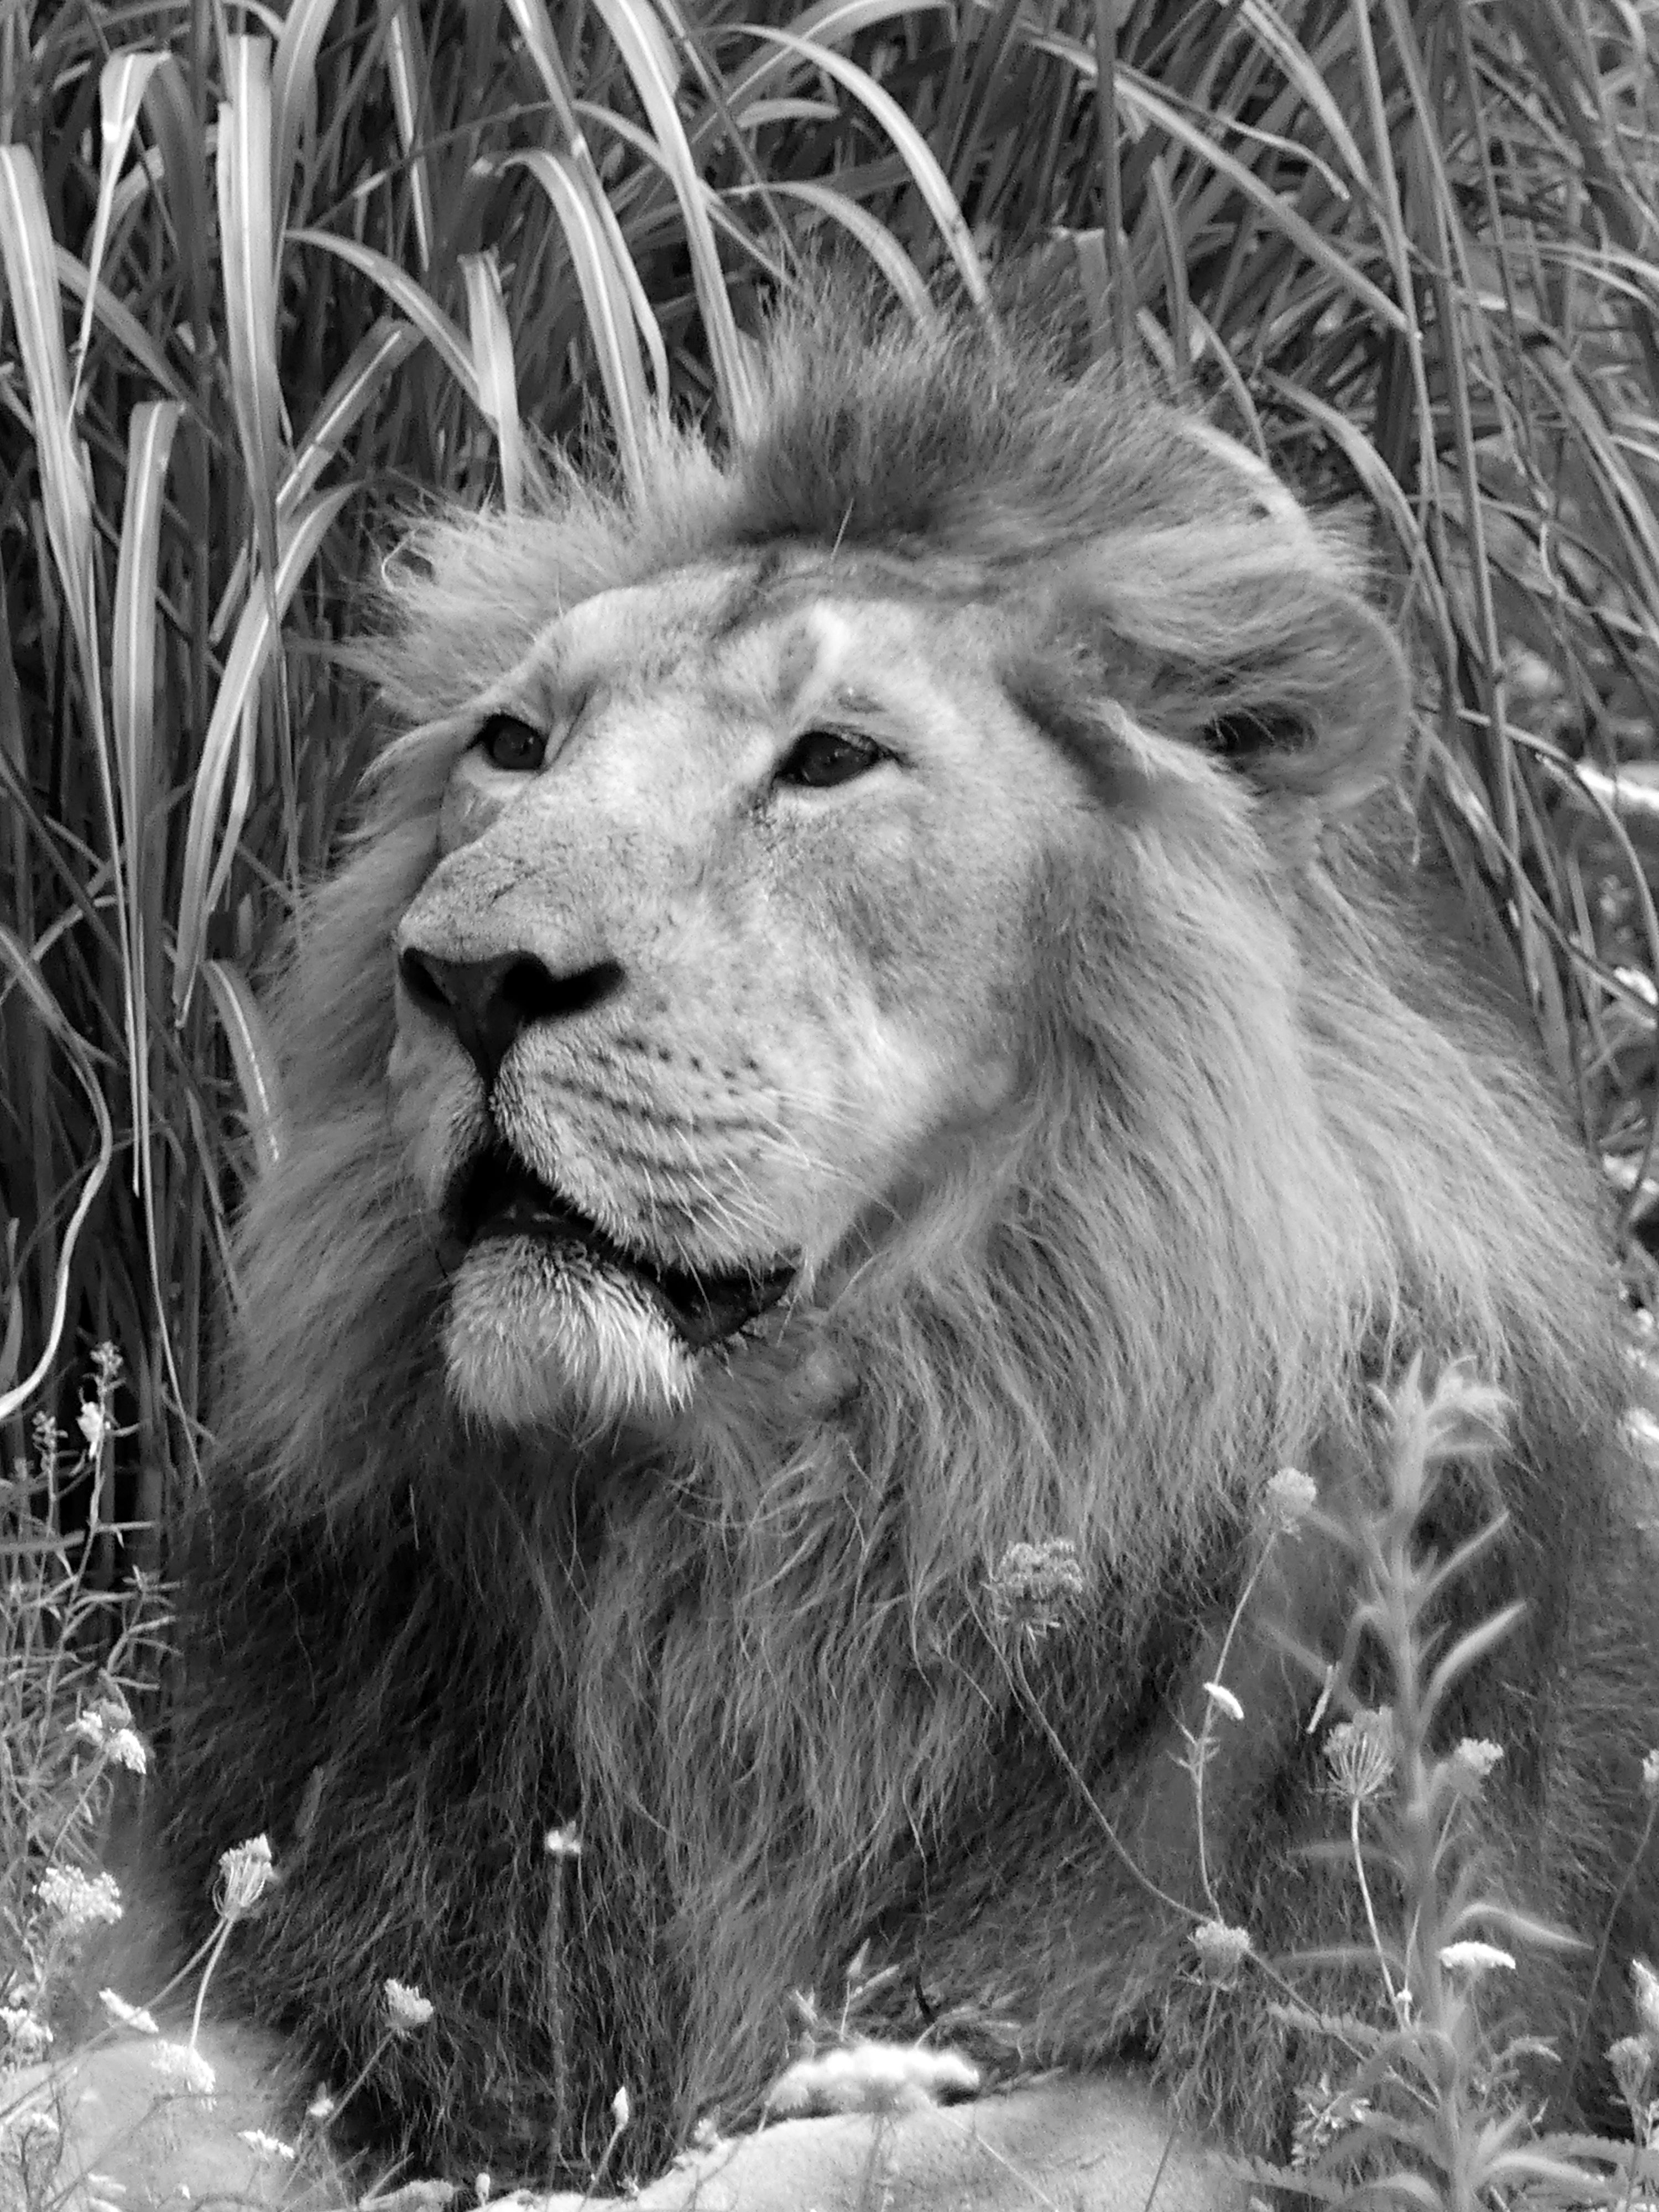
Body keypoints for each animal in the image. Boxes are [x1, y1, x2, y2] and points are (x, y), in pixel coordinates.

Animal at [135, 281, 1657, 2207]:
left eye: (831, 760)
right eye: (514, 745)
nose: (470, 977)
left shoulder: (1335, 2082)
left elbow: (837, 2154)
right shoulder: (307, 1960)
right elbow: (145, 2091)